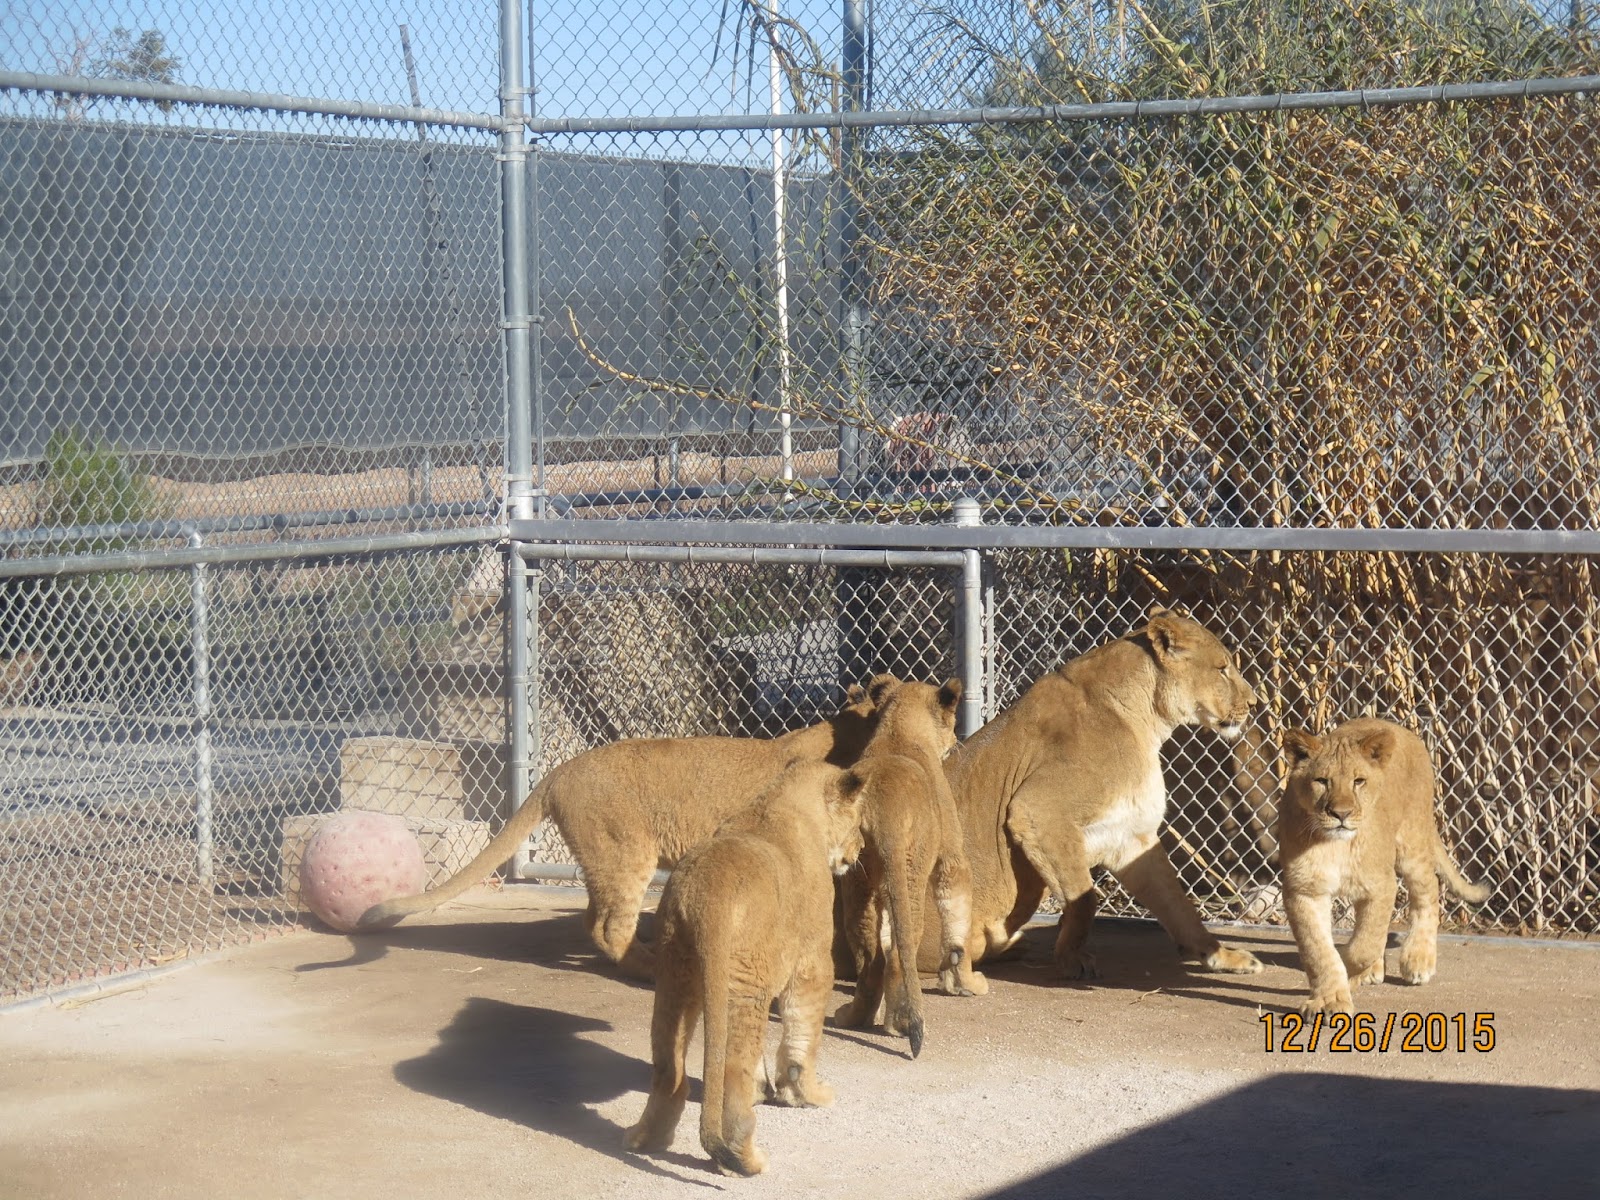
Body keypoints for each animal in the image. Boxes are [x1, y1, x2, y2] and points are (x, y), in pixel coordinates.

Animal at [357, 682, 887, 977]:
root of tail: (559, 772)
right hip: (628, 853)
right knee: (612, 927)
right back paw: (651, 969)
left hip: (602, 858)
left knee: (595, 922)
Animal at [623, 759, 866, 1177]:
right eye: (859, 819)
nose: (862, 848)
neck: (789, 799)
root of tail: (708, 892)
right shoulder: (813, 960)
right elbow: (803, 1034)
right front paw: (807, 1094)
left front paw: (768, 1090)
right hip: (747, 986)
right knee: (732, 1069)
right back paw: (744, 1157)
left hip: (674, 978)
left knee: (669, 1067)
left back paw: (646, 1139)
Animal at [832, 675, 980, 1057]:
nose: (956, 741)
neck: (899, 731)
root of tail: (882, 809)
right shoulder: (952, 855)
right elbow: (958, 918)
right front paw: (968, 982)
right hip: (911, 870)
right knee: (900, 951)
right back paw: (900, 1024)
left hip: (859, 883)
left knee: (871, 958)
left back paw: (853, 1017)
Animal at [916, 606, 1265, 979]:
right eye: (1222, 669)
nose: (1254, 703)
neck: (1147, 720)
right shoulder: (1036, 810)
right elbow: (1085, 899)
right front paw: (1072, 959)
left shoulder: (1131, 835)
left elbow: (1180, 907)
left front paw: (1221, 956)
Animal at [1278, 718, 1491, 1016]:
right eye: (1321, 781)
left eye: (1358, 781)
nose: (1341, 814)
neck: (1334, 845)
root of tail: (1397, 728)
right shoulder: (1304, 890)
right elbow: (1318, 950)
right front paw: (1330, 999)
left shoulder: (1381, 885)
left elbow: (1363, 946)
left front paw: (1352, 970)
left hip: (1412, 846)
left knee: (1427, 894)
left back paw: (1418, 960)